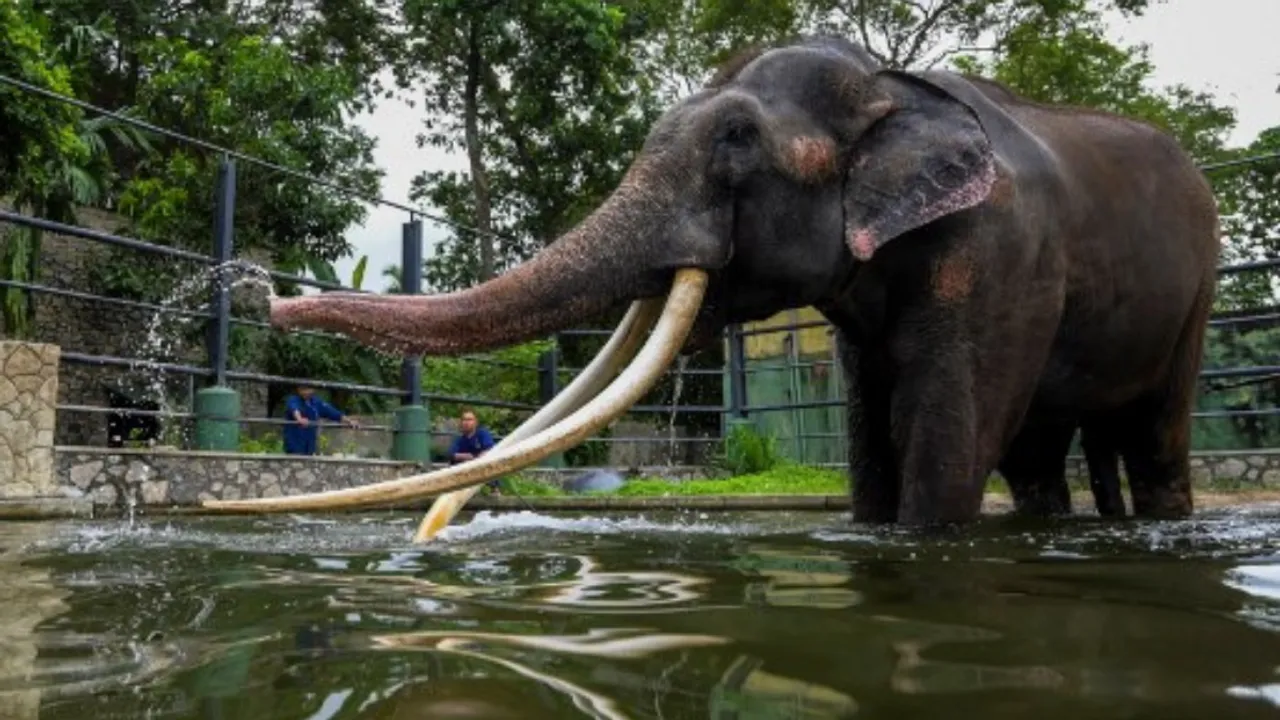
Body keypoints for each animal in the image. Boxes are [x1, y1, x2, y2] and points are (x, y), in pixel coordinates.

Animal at [203, 34, 1220, 530]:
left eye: (735, 141)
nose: (259, 292)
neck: (890, 85)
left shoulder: (999, 250)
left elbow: (944, 435)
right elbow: (871, 435)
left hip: (1195, 295)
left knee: (1150, 437)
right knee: (1048, 454)